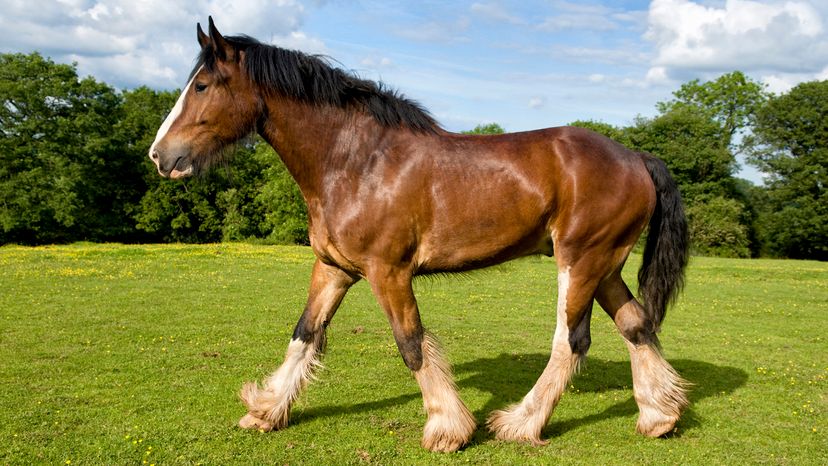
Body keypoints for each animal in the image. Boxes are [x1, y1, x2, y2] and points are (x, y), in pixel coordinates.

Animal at [150, 17, 692, 452]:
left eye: (202, 85)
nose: (160, 155)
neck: (355, 161)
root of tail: (635, 157)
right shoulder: (335, 268)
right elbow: (305, 334)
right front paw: (266, 410)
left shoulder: (388, 272)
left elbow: (410, 342)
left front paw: (447, 429)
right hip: (605, 265)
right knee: (636, 325)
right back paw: (659, 415)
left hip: (579, 261)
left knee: (571, 341)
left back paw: (520, 424)